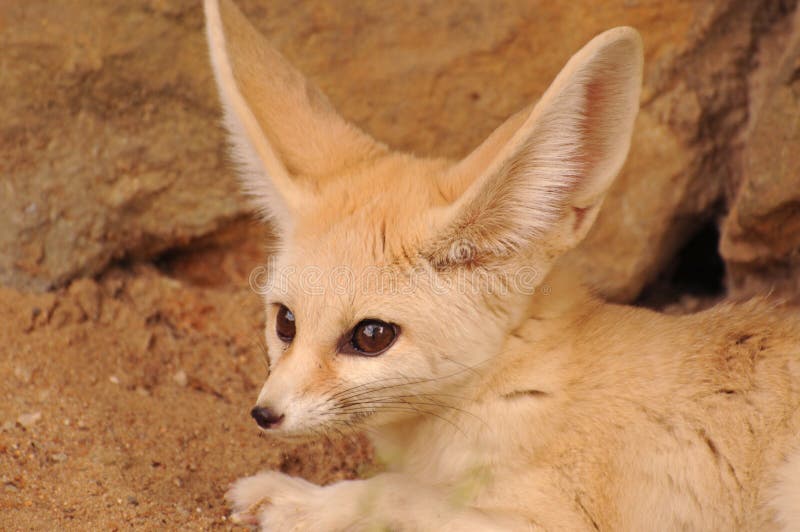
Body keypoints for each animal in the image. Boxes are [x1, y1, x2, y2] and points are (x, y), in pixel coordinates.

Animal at [204, 0, 800, 530]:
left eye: (371, 336)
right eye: (285, 322)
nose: (264, 413)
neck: (522, 376)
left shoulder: (560, 521)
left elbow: (396, 491)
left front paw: (299, 502)